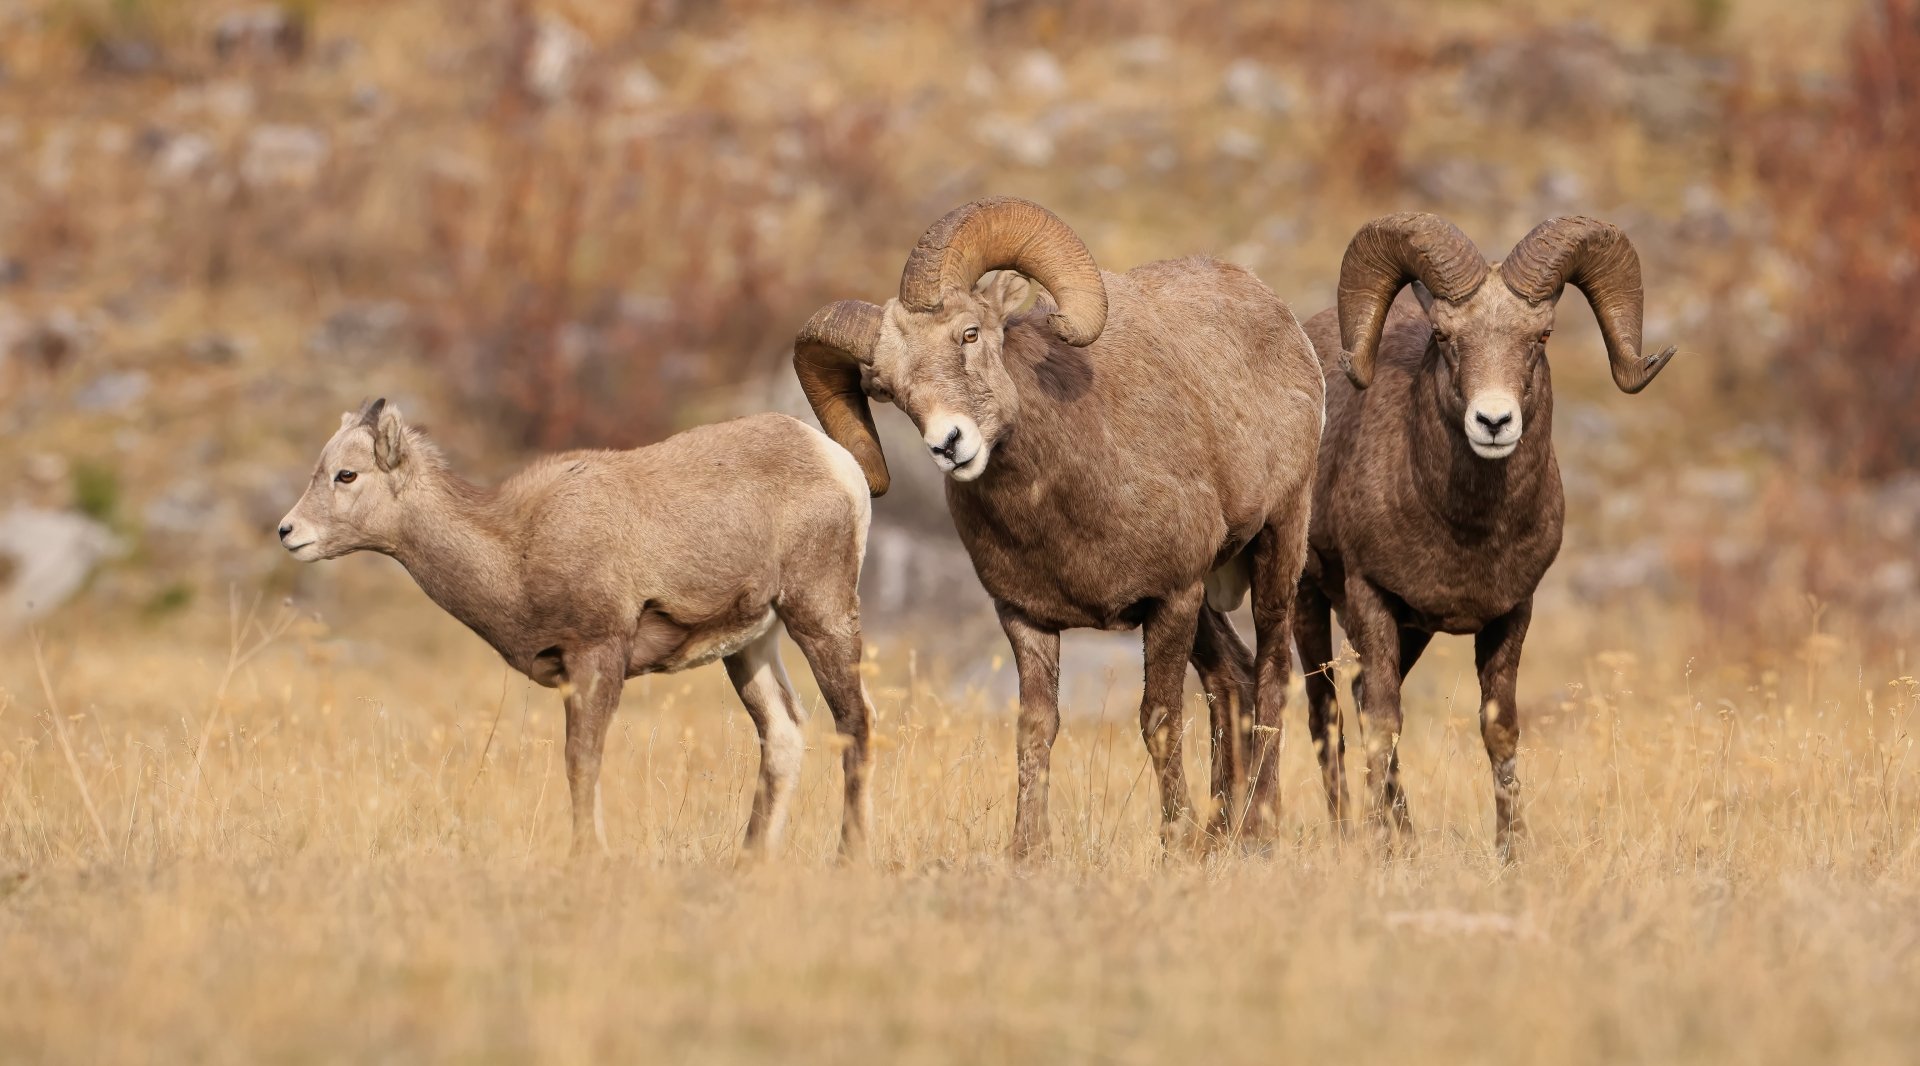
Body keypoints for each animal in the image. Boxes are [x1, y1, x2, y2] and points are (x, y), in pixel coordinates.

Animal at [276, 400, 878, 859]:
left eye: (347, 474)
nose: (288, 532)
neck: (515, 548)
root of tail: (836, 462)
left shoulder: (597, 656)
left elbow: (581, 763)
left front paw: (587, 856)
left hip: (820, 614)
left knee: (855, 721)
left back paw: (848, 858)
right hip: (751, 646)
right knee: (783, 733)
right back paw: (749, 861)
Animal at [792, 196, 1325, 855]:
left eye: (970, 333)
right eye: (886, 388)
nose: (950, 444)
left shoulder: (1170, 598)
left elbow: (1159, 719)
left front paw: (1173, 841)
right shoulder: (1027, 618)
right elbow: (1036, 728)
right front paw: (1028, 851)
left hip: (1278, 542)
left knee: (1272, 674)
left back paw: (1256, 829)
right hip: (1208, 602)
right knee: (1233, 679)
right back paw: (1219, 832)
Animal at [1295, 212, 1677, 859]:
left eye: (1542, 336)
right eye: (1444, 336)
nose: (1494, 421)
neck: (1466, 528)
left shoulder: (1511, 613)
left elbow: (1497, 728)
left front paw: (1511, 849)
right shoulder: (1371, 597)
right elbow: (1383, 723)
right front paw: (1384, 851)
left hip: (1413, 634)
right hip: (1305, 602)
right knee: (1330, 716)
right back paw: (1351, 832)